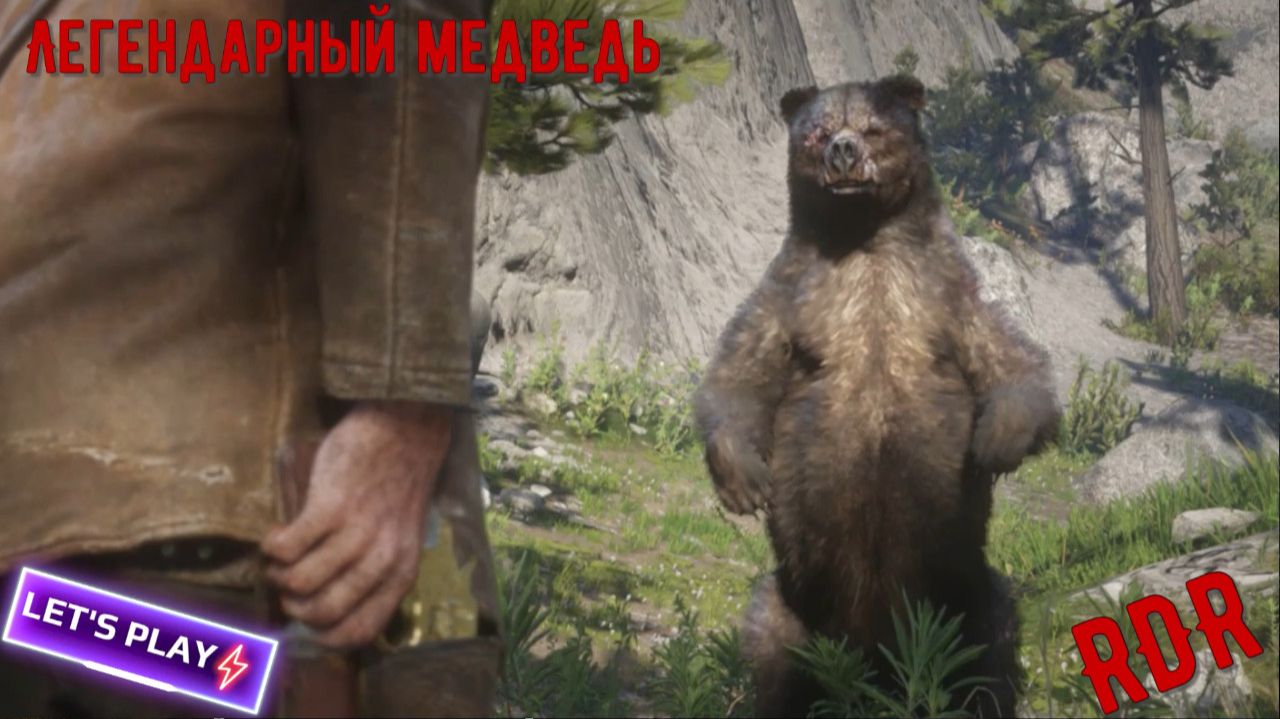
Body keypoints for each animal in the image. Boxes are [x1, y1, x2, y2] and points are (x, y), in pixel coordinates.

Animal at [693, 76, 1060, 717]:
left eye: (871, 126)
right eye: (817, 131)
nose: (842, 151)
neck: (864, 241)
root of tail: (876, 671)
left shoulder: (947, 299)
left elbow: (1015, 366)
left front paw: (994, 443)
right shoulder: (789, 297)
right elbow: (737, 376)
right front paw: (745, 481)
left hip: (964, 596)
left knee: (990, 641)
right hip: (794, 603)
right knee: (771, 649)